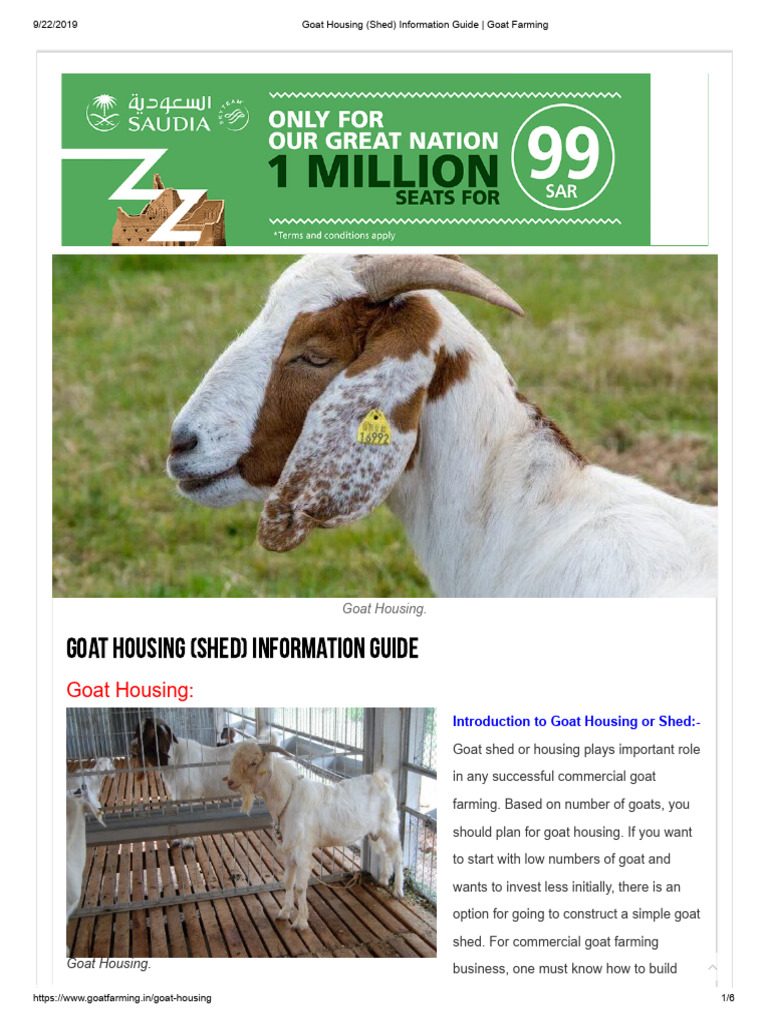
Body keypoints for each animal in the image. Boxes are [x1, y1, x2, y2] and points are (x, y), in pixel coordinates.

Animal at [130, 718, 236, 847]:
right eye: (136, 730)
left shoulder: (193, 793)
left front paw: (188, 843)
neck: (175, 758)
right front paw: (178, 840)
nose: (132, 746)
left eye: (148, 732)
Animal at [224, 740, 404, 931]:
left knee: (397, 854)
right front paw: (284, 912)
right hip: (375, 831)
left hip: (390, 825)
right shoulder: (289, 852)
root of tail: (381, 779)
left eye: (253, 762)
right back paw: (383, 880)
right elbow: (288, 882)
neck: (287, 799)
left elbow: (300, 887)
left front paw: (300, 922)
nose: (230, 782)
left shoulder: (302, 851)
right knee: (385, 852)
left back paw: (398, 891)